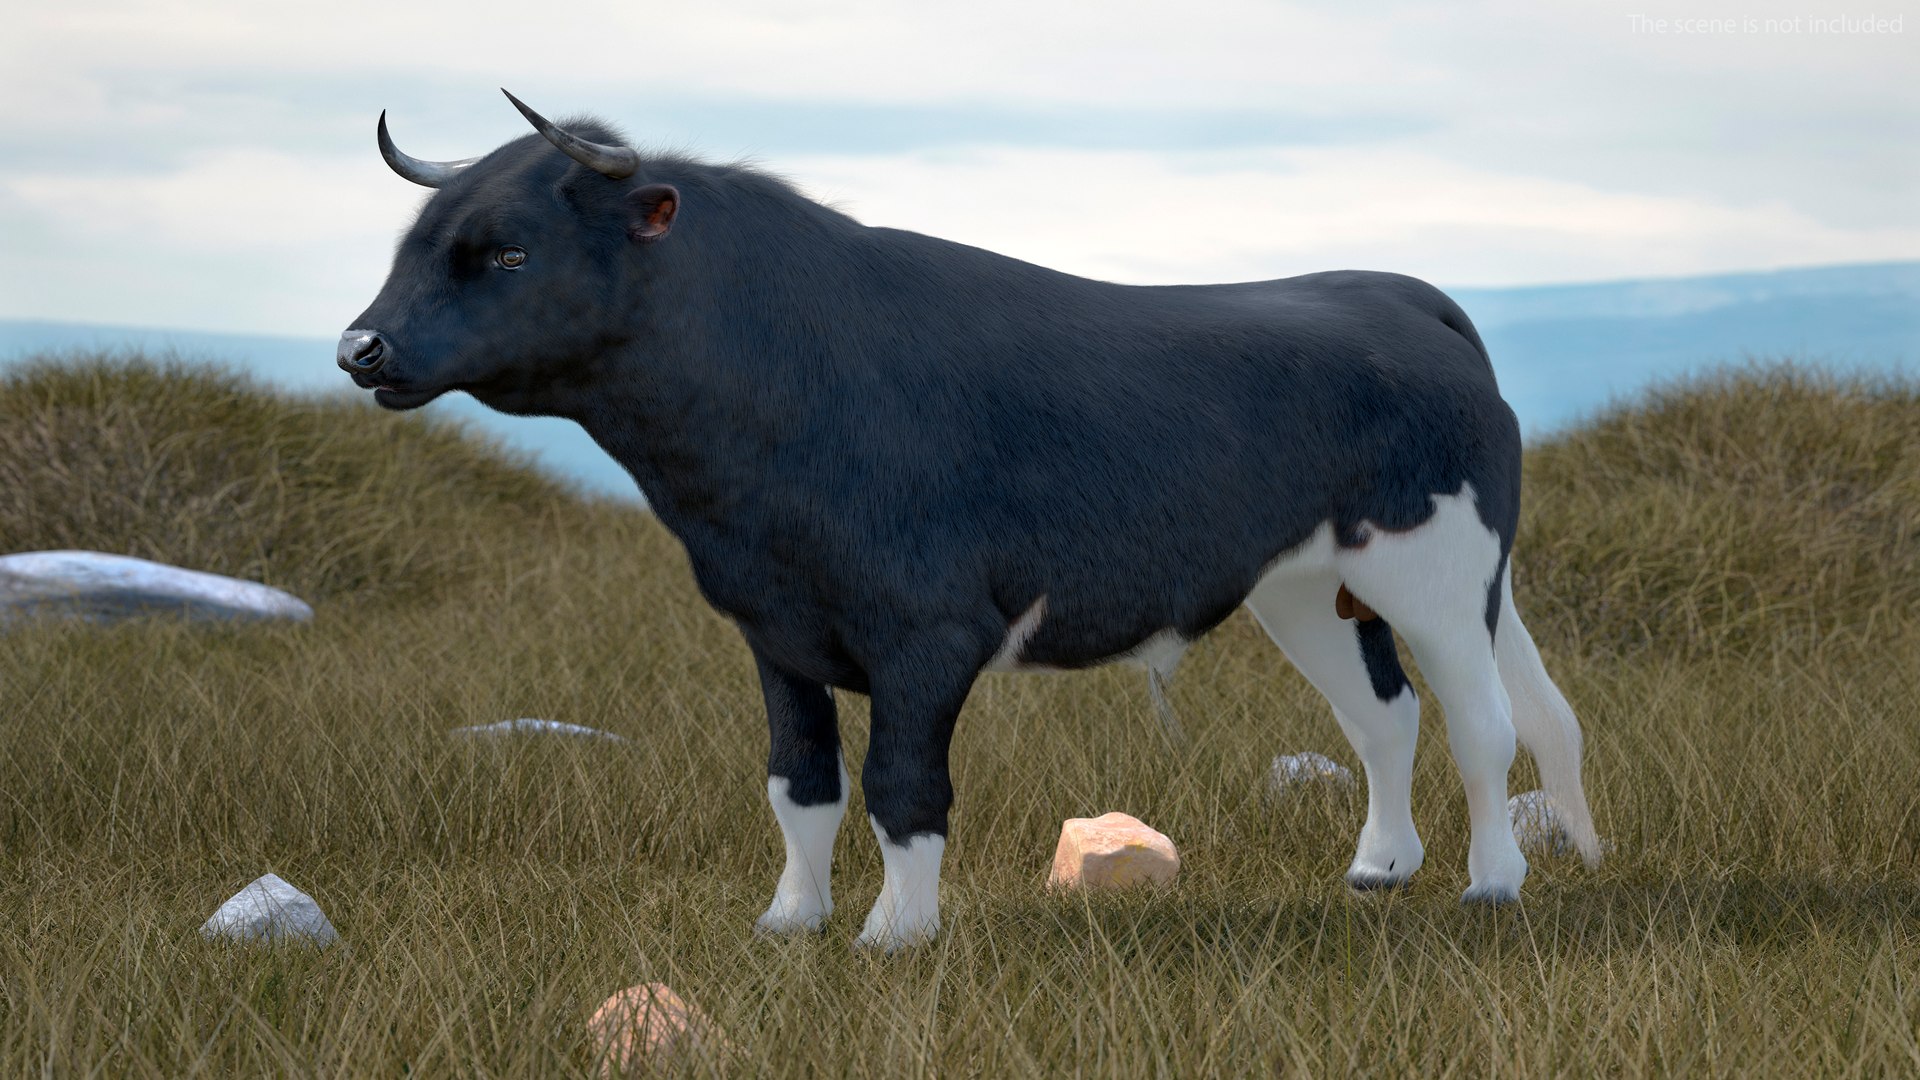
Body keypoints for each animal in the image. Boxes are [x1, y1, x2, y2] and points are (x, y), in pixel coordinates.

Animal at [340, 91, 1602, 951]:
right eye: (416, 243)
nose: (361, 348)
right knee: (1383, 715)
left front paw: (897, 935)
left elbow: (902, 787)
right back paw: (1381, 869)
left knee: (1483, 722)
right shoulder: (773, 628)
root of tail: (1396, 291)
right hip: (1306, 587)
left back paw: (1492, 884)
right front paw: (789, 924)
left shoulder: (925, 631)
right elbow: (799, 783)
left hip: (1441, 569)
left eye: (507, 251)